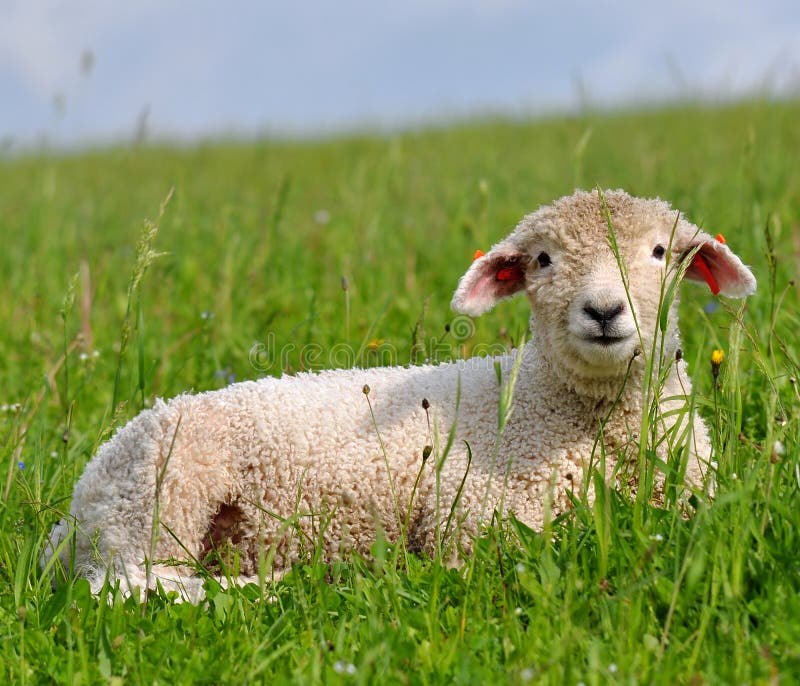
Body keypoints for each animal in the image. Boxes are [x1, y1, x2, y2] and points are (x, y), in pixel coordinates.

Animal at [43, 189, 756, 600]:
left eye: (661, 252)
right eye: (543, 261)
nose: (604, 311)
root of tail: (72, 515)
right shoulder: (474, 520)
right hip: (163, 488)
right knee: (128, 585)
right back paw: (271, 586)